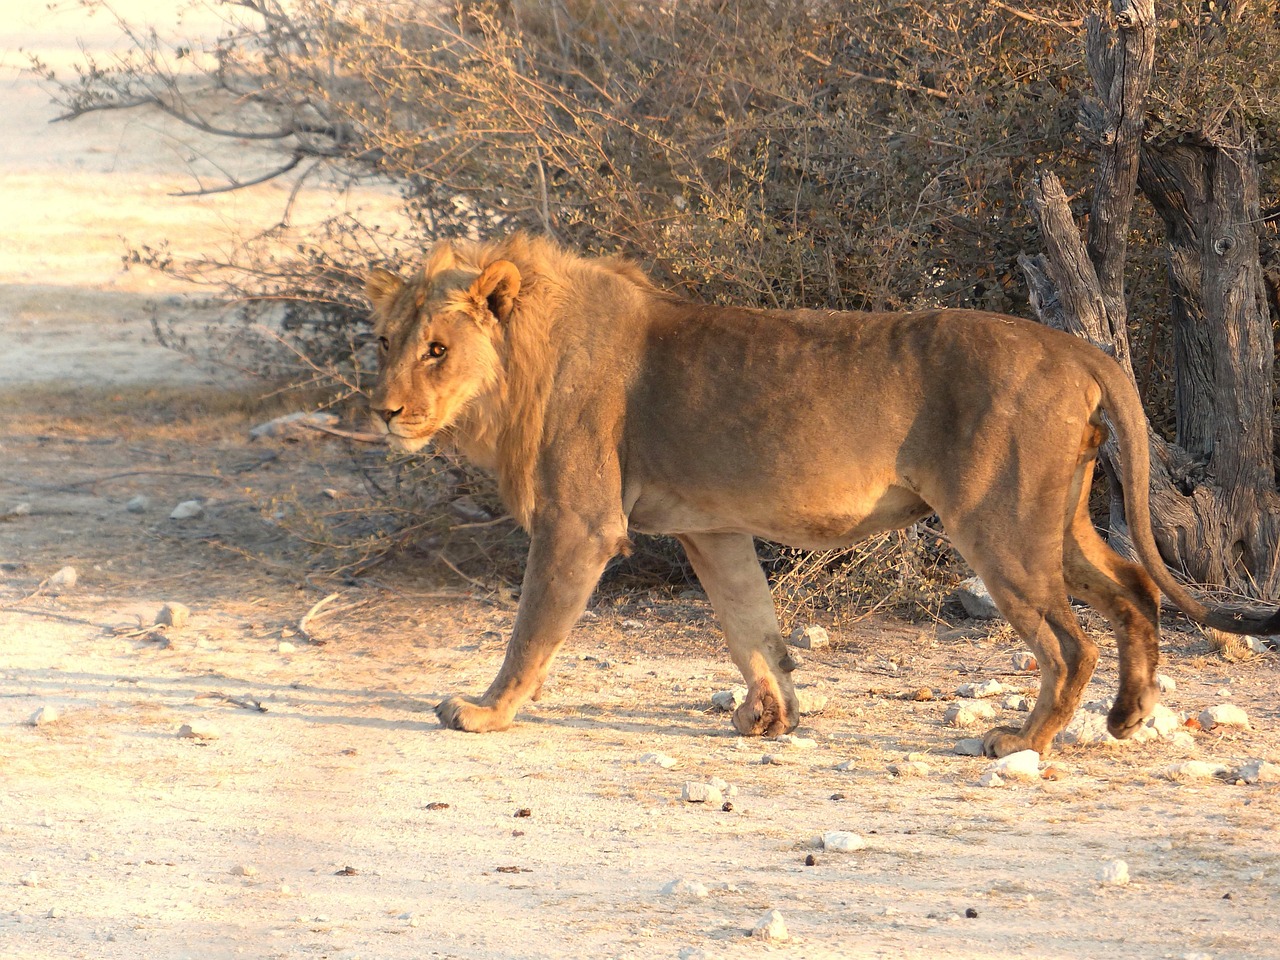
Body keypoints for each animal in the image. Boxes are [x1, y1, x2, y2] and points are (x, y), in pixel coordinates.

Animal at [364, 233, 1280, 757]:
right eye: (385, 343)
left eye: (438, 349)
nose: (384, 410)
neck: (521, 363)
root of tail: (1075, 345)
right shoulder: (712, 529)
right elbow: (751, 628)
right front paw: (768, 717)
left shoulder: (579, 524)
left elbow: (531, 633)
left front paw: (483, 713)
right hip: (1055, 522)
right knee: (1133, 593)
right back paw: (1125, 719)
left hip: (1001, 524)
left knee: (1068, 641)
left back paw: (1023, 738)